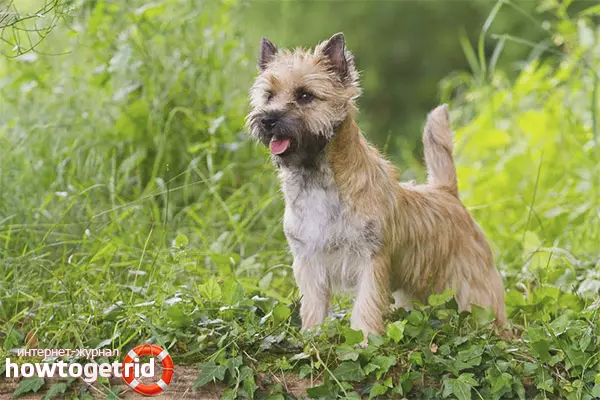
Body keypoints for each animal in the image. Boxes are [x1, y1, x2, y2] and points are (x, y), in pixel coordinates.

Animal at [244, 32, 506, 340]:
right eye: (269, 95)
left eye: (305, 95)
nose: (268, 119)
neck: (318, 180)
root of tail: (447, 193)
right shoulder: (309, 260)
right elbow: (314, 303)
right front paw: (313, 334)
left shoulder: (370, 259)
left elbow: (366, 304)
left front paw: (364, 338)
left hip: (474, 287)